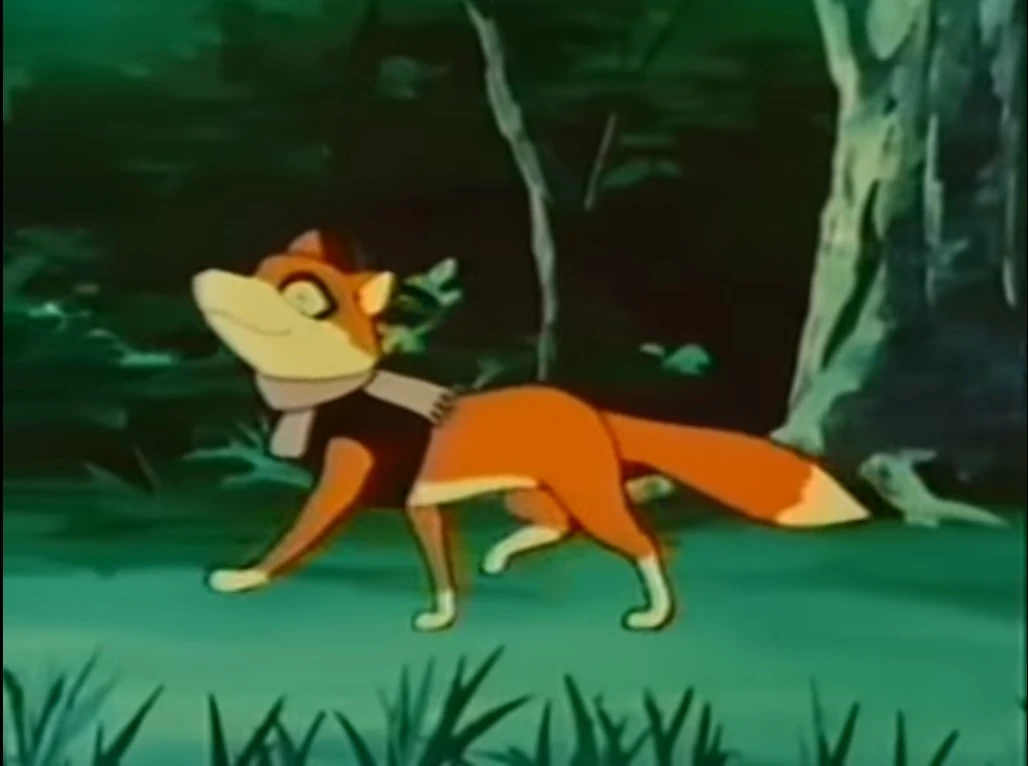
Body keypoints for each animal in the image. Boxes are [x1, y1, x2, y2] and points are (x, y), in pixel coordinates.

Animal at [191, 229, 871, 633]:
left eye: (303, 296)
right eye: (260, 268)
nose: (207, 278)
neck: (340, 393)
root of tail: (588, 407)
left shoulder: (357, 492)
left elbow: (294, 541)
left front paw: (246, 578)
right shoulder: (423, 504)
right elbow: (442, 567)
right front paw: (448, 609)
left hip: (591, 495)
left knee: (643, 543)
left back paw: (654, 613)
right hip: (524, 493)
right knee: (556, 526)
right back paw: (500, 556)